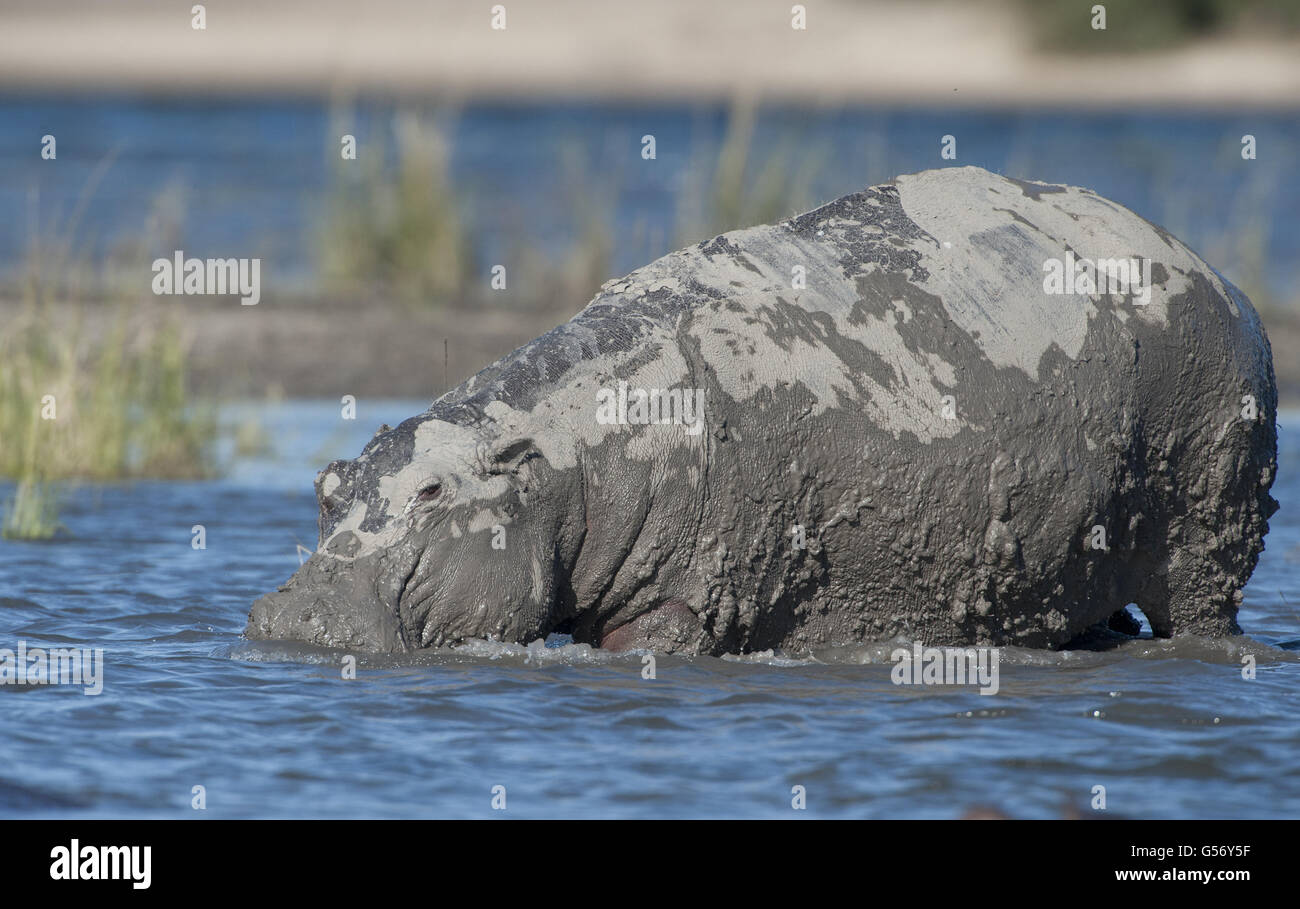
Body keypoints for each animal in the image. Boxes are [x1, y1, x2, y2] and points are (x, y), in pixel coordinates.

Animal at [246, 165, 1278, 655]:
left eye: (429, 492)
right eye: (327, 487)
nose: (294, 613)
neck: (566, 455)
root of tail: (1220, 277)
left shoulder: (676, 605)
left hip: (1208, 524)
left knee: (1201, 608)